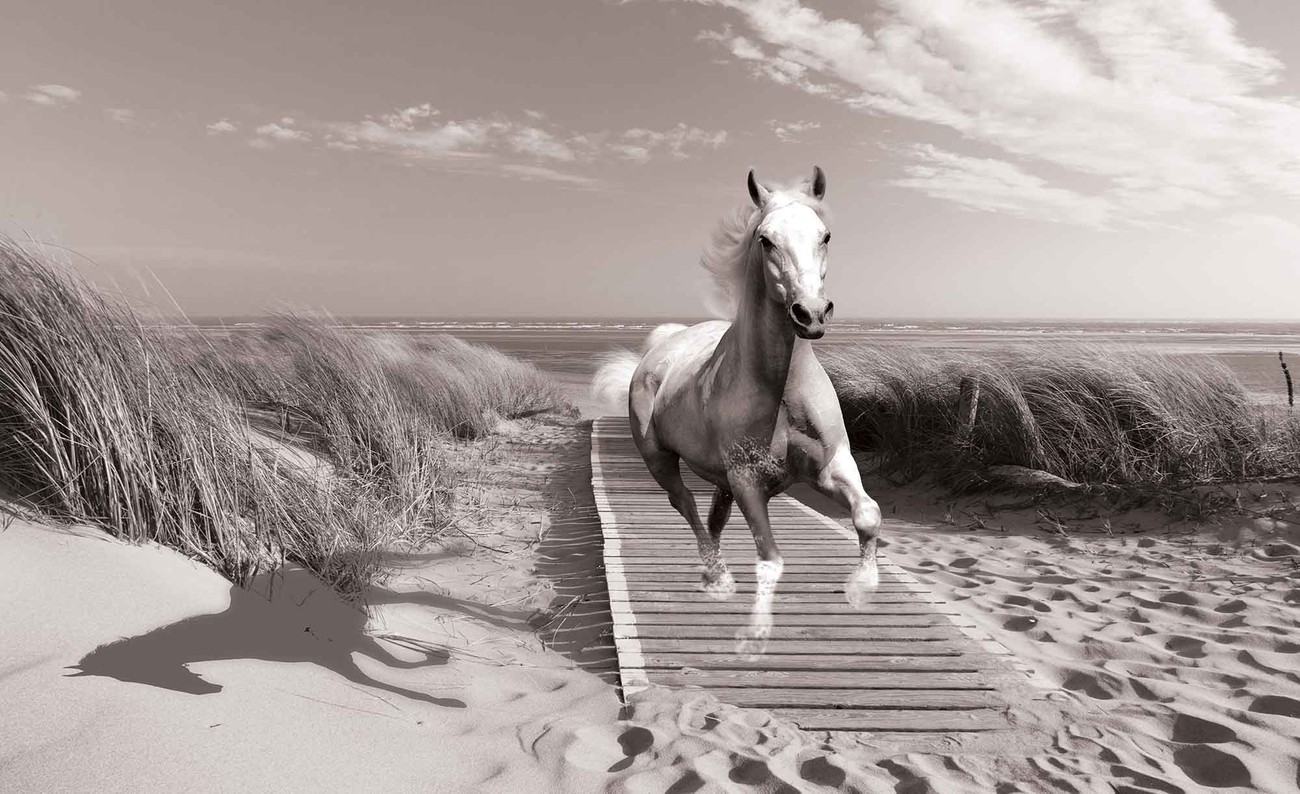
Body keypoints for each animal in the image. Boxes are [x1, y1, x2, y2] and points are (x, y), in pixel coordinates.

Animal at [593, 166, 883, 656]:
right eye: (766, 240)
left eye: (825, 234)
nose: (811, 313)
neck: (782, 389)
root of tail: (660, 350)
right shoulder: (749, 482)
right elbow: (770, 558)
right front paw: (757, 634)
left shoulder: (832, 466)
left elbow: (868, 514)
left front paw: (861, 587)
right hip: (660, 461)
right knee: (687, 506)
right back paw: (718, 576)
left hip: (722, 478)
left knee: (713, 516)